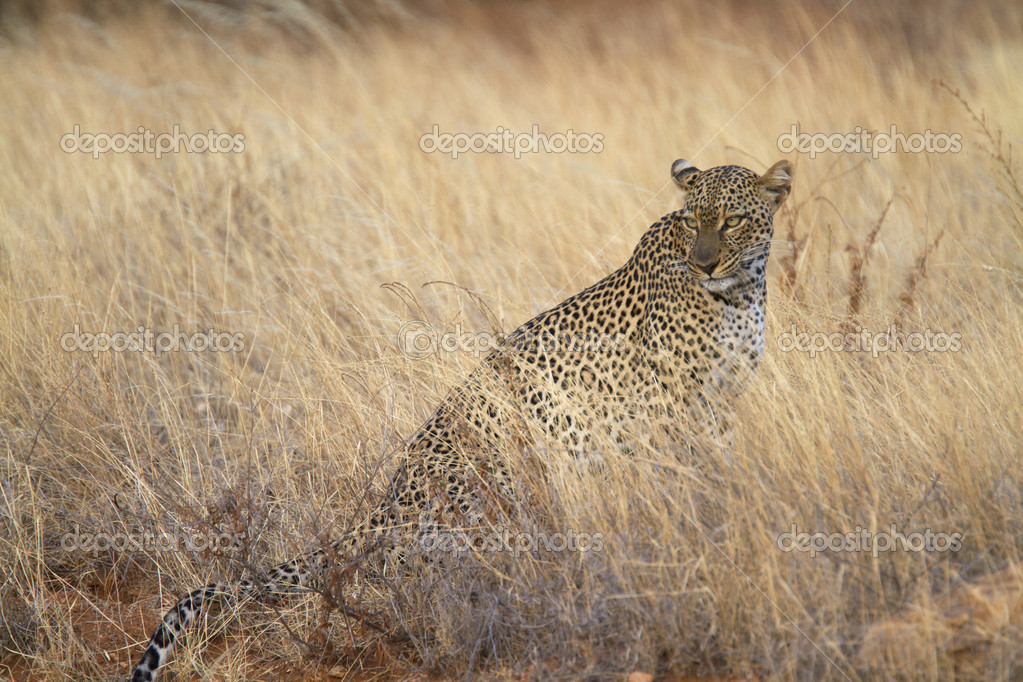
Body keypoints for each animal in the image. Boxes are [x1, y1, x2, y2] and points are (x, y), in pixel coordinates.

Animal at [129, 157, 792, 681]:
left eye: (731, 221)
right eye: (692, 221)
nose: (704, 265)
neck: (741, 291)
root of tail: (386, 500)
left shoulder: (719, 406)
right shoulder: (674, 411)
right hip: (487, 479)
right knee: (414, 571)